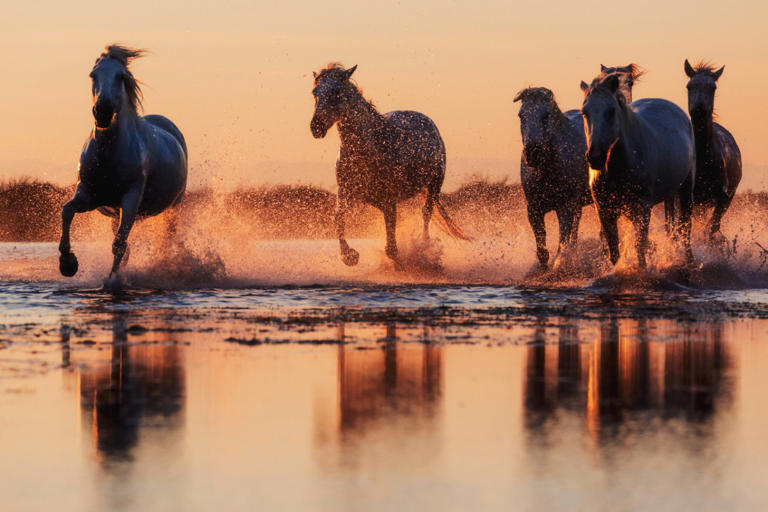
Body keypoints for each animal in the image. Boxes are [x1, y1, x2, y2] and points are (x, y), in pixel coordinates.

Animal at [58, 45, 188, 284]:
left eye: (120, 76)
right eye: (93, 75)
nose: (103, 111)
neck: (108, 156)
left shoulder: (130, 198)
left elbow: (119, 243)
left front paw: (112, 280)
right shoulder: (90, 194)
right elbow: (67, 211)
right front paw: (68, 263)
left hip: (174, 206)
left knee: (166, 240)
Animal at [309, 63, 469, 268]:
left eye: (337, 91)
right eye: (315, 92)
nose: (316, 127)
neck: (369, 148)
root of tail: (428, 123)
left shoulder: (388, 199)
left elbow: (392, 247)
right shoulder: (346, 192)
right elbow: (338, 217)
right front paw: (349, 256)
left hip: (434, 185)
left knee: (426, 213)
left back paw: (424, 245)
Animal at [514, 87, 590, 269]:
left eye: (546, 115)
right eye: (521, 115)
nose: (533, 153)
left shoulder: (565, 207)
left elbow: (562, 245)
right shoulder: (533, 209)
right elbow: (542, 251)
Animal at [579, 72, 696, 269]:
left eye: (611, 111)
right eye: (584, 112)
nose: (595, 156)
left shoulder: (642, 208)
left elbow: (640, 250)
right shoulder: (605, 211)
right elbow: (614, 252)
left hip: (686, 189)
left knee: (685, 230)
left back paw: (690, 263)